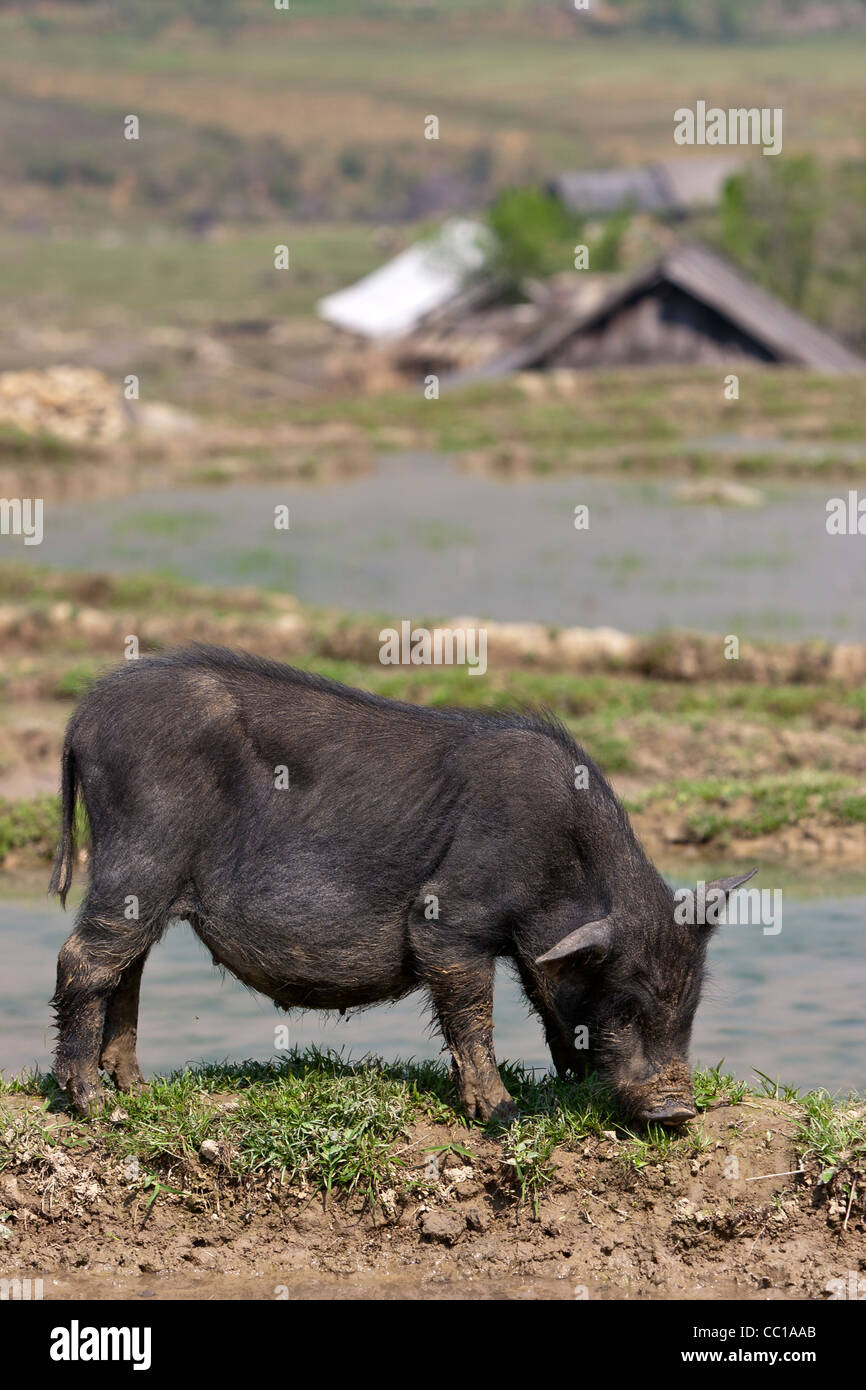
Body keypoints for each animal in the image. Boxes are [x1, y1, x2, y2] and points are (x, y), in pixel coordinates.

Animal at [50, 646, 755, 1125]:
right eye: (625, 1002)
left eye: (689, 1004)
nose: (678, 1111)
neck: (563, 865)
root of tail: (84, 717)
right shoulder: (450, 919)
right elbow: (473, 1010)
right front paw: (502, 1112)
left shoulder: (538, 949)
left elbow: (549, 1006)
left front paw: (571, 1084)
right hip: (139, 854)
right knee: (82, 960)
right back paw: (92, 1105)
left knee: (127, 970)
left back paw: (139, 1091)